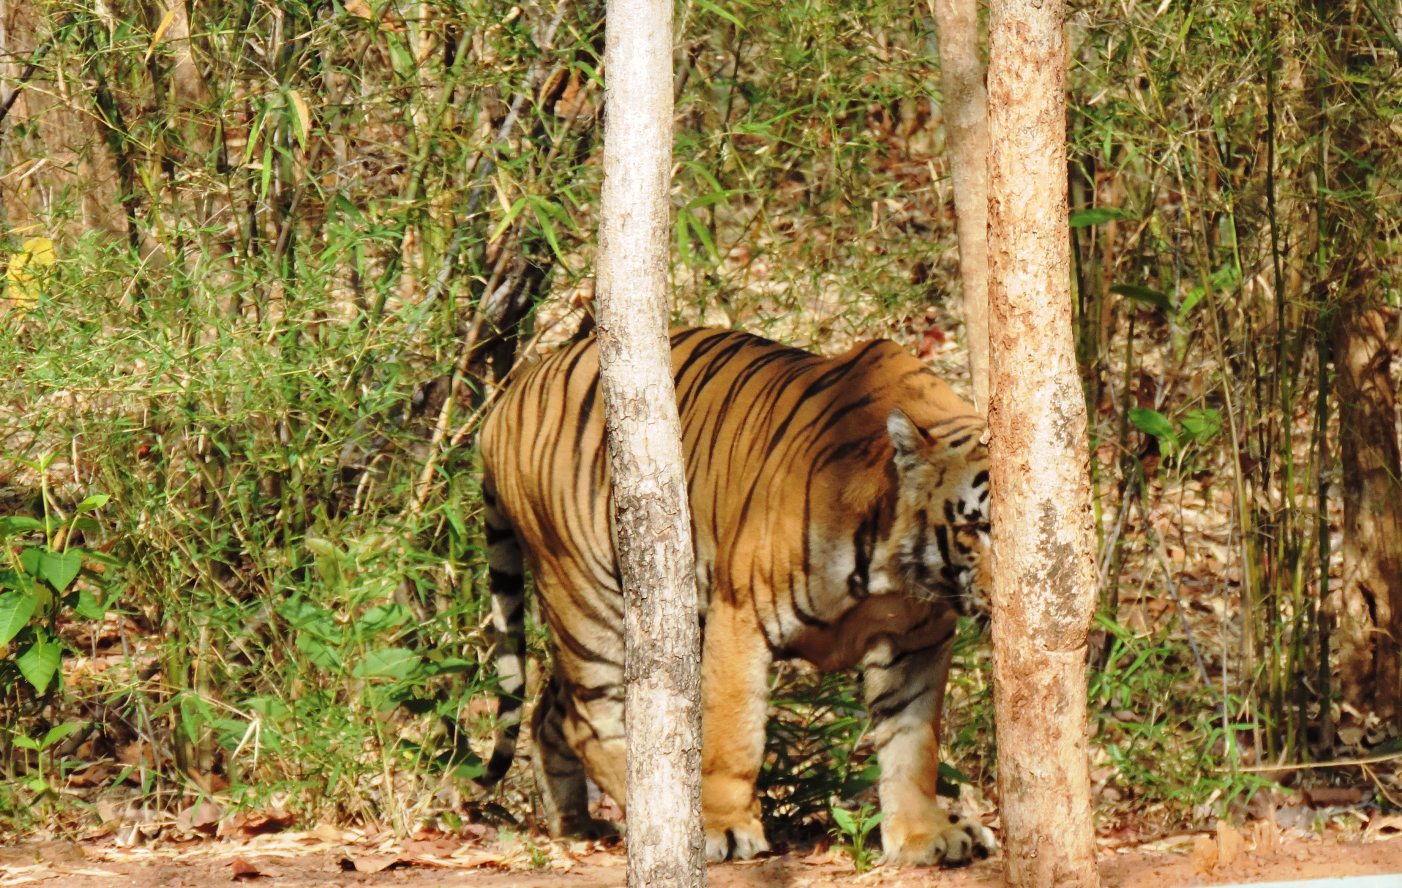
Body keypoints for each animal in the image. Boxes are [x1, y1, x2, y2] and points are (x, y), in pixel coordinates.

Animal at [475, 326, 996, 866]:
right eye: (976, 527)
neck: (898, 577)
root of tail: (507, 398)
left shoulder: (916, 643)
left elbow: (912, 743)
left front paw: (925, 833)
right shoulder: (742, 612)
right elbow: (734, 732)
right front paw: (722, 826)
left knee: (548, 713)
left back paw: (574, 825)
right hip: (586, 596)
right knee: (591, 721)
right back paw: (663, 817)